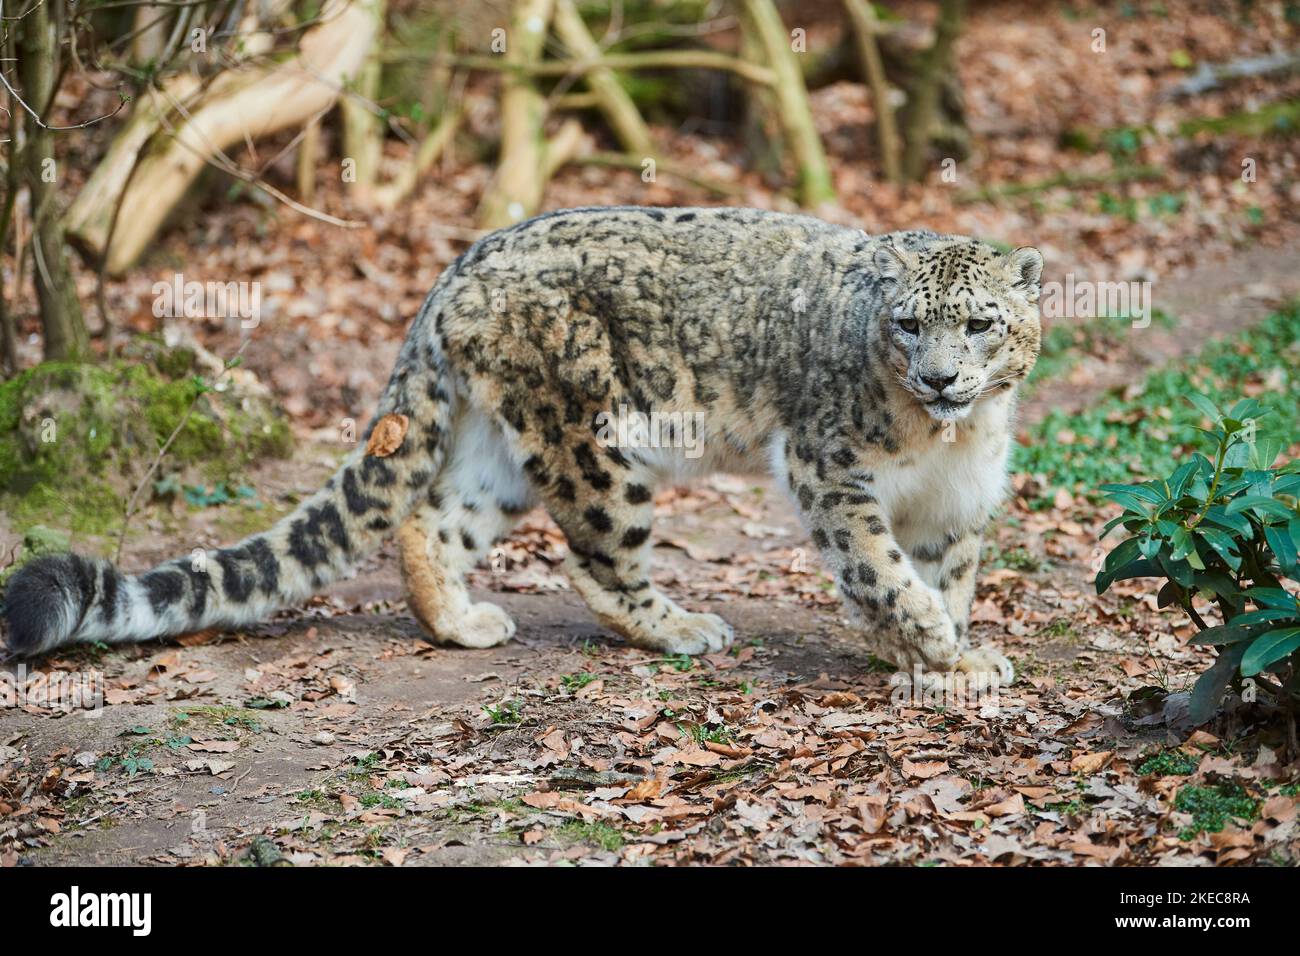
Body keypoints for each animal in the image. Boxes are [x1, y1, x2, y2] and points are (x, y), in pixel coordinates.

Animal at [2, 206, 1043, 686]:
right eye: (908, 323)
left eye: (980, 323)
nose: (940, 379)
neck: (949, 439)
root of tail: (462, 264)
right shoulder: (833, 472)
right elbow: (882, 570)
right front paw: (948, 656)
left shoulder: (954, 504)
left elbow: (941, 574)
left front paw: (939, 652)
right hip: (592, 433)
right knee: (600, 556)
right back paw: (681, 627)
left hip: (498, 450)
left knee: (430, 518)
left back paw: (460, 622)